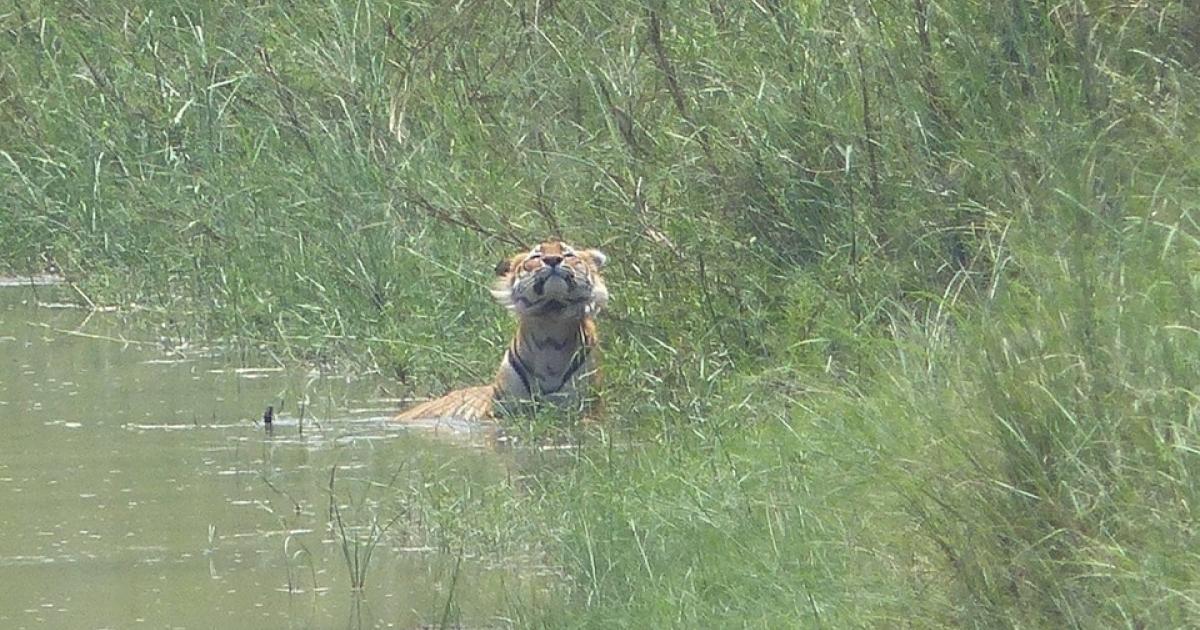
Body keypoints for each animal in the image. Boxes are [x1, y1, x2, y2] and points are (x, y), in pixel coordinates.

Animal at [394, 240, 608, 434]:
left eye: (568, 255)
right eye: (536, 257)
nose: (552, 259)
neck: (550, 325)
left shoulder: (587, 408)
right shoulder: (500, 413)